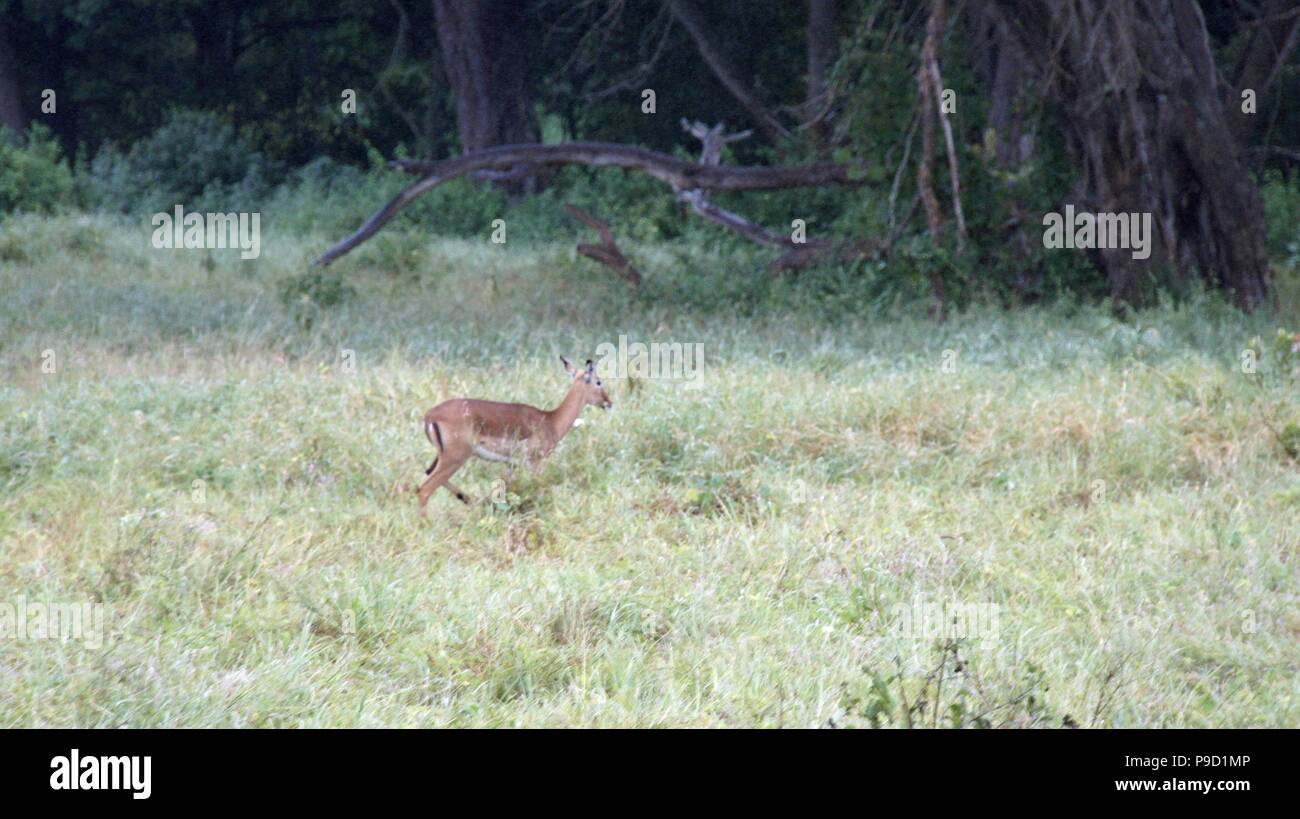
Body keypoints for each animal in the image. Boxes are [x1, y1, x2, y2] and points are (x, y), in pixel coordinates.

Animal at [416, 357, 612, 514]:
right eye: (598, 382)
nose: (608, 402)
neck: (550, 420)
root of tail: (430, 415)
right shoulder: (535, 464)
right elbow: (541, 488)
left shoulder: (512, 464)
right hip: (455, 458)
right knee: (424, 489)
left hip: (443, 458)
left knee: (427, 475)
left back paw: (466, 498)